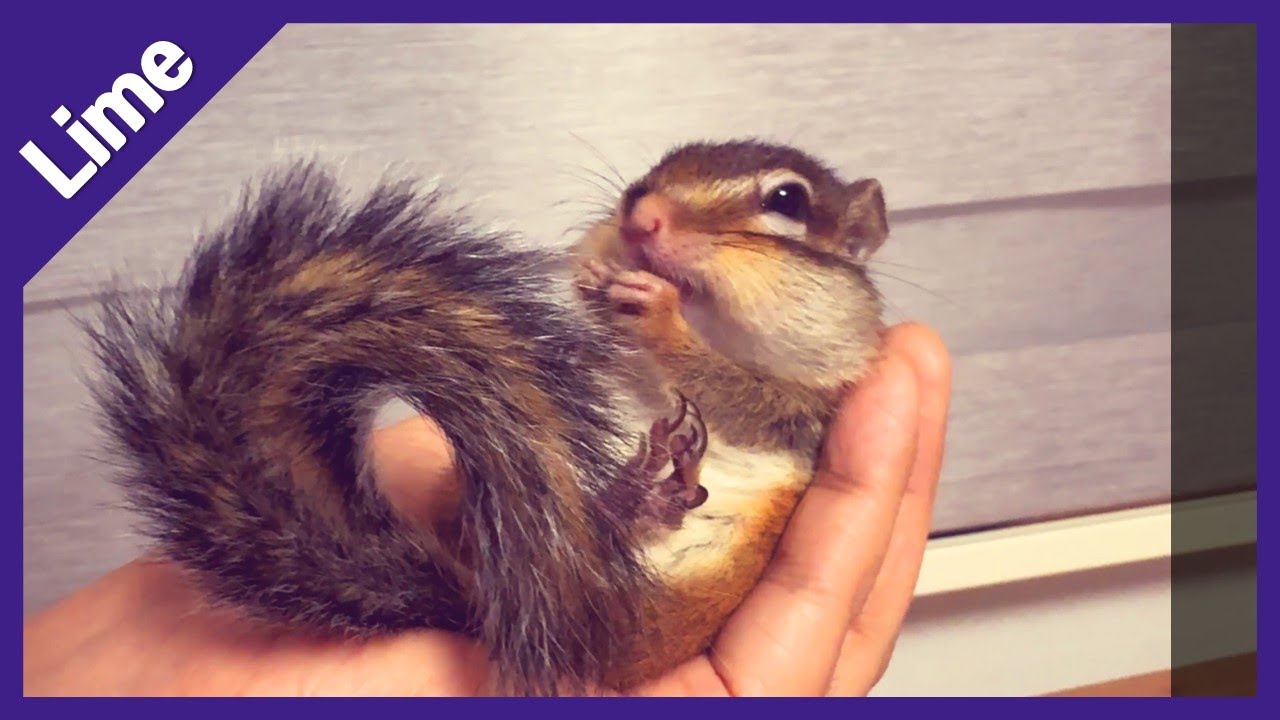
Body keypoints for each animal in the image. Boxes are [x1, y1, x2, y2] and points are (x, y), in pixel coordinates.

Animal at [82, 139, 889, 696]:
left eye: (786, 199)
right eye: (660, 164)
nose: (640, 213)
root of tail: (501, 598)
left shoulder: (796, 409)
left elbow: (730, 388)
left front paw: (659, 314)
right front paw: (594, 271)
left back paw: (647, 498)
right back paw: (629, 494)